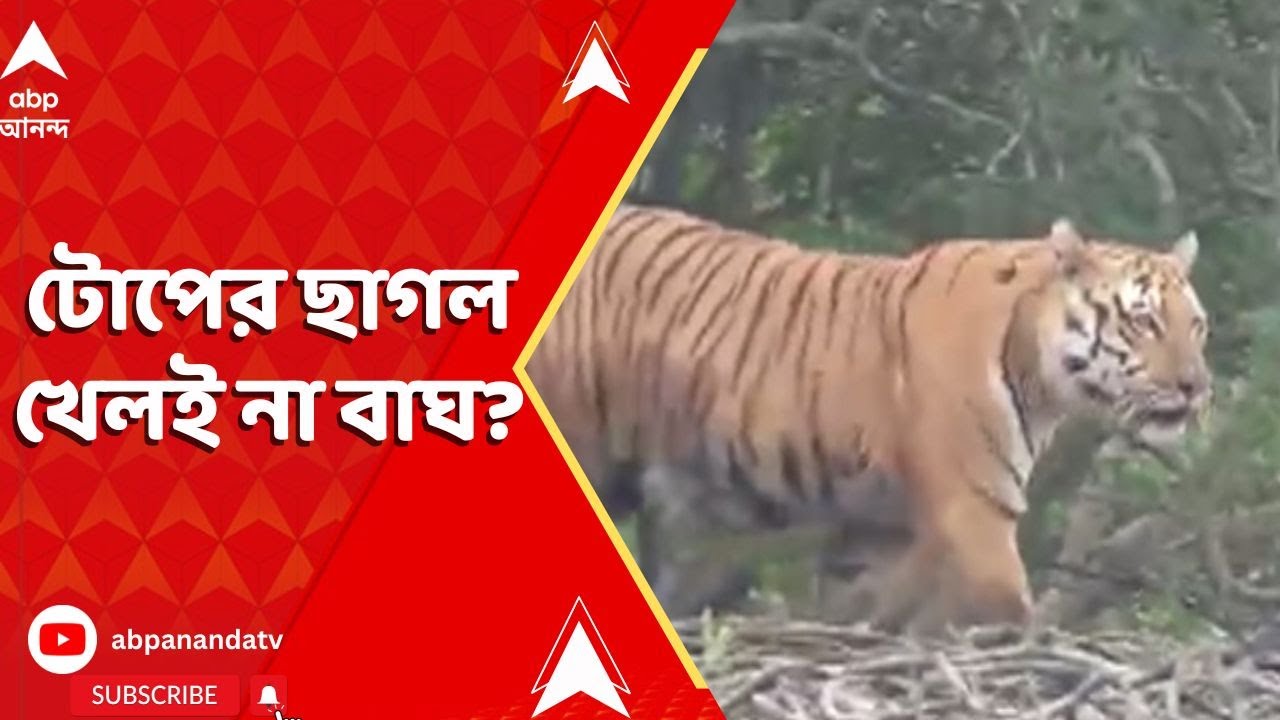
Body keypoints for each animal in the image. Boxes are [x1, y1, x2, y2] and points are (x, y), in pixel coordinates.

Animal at [526, 204, 1211, 628]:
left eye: (1196, 325)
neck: (1039, 373)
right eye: (1144, 321)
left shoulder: (878, 529)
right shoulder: (976, 512)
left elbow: (867, 610)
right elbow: (1007, 609)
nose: (1196, 386)